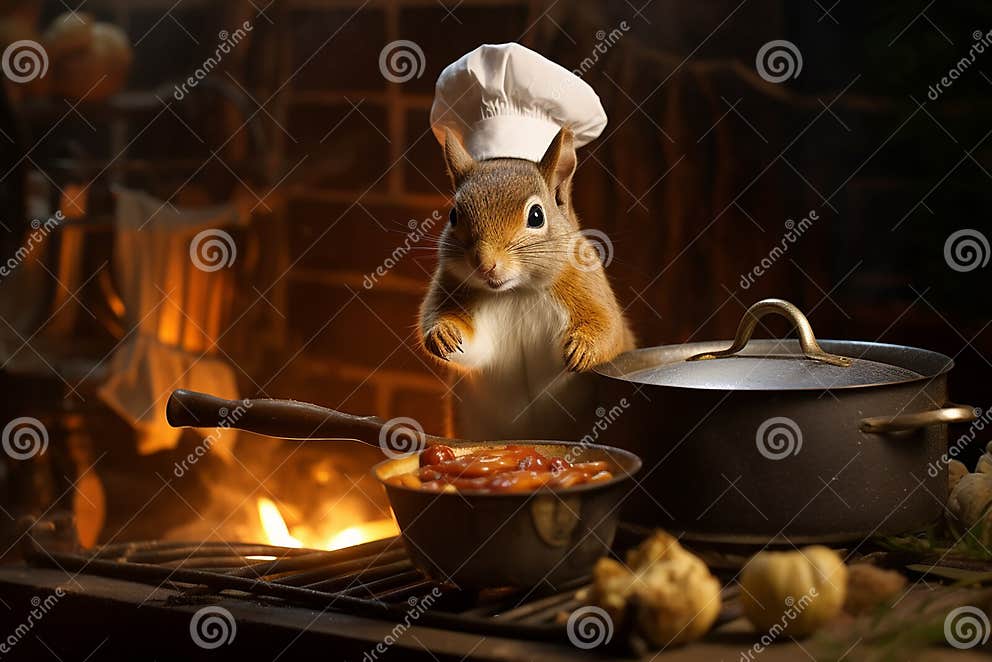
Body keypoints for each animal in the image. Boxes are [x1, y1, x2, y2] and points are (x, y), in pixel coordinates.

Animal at [419, 127, 635, 440]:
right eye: (453, 215)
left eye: (536, 216)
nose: (485, 264)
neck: (516, 291)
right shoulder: (452, 287)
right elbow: (471, 349)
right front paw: (442, 333)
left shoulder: (586, 288)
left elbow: (608, 328)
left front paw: (583, 348)